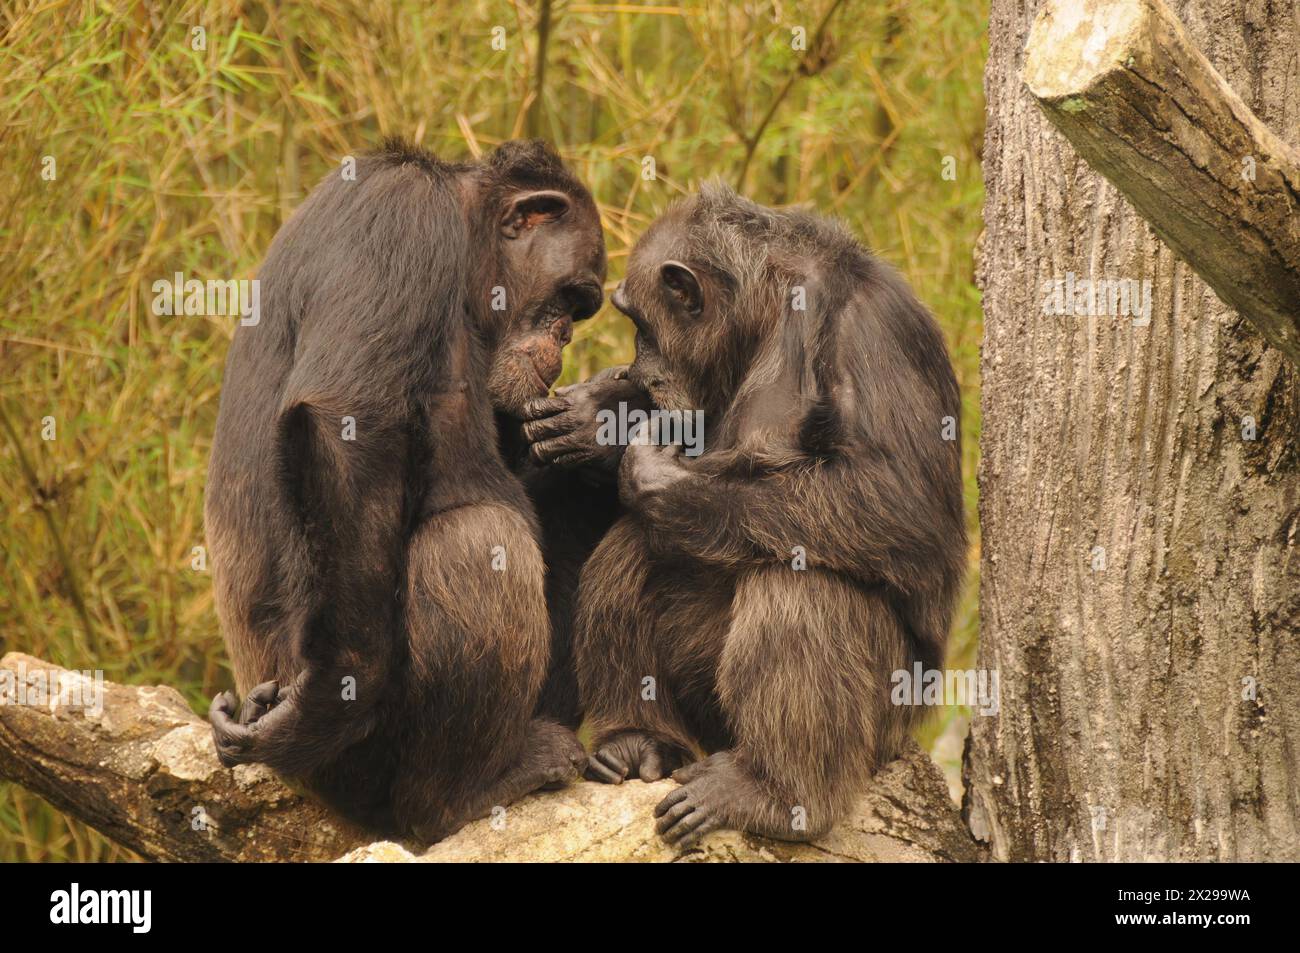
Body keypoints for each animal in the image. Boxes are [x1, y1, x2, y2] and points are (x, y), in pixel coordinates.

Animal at [204, 138, 612, 841]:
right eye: (571, 300)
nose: (562, 341)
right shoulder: (404, 221)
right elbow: (347, 423)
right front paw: (324, 704)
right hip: (352, 771)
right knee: (476, 540)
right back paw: (465, 792)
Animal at [529, 183, 966, 847]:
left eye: (638, 324)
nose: (636, 366)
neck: (769, 315)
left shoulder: (873, 331)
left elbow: (896, 496)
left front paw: (655, 477)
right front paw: (602, 414)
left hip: (891, 720)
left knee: (801, 579)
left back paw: (774, 794)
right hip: (711, 722)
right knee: (634, 545)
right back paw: (638, 740)